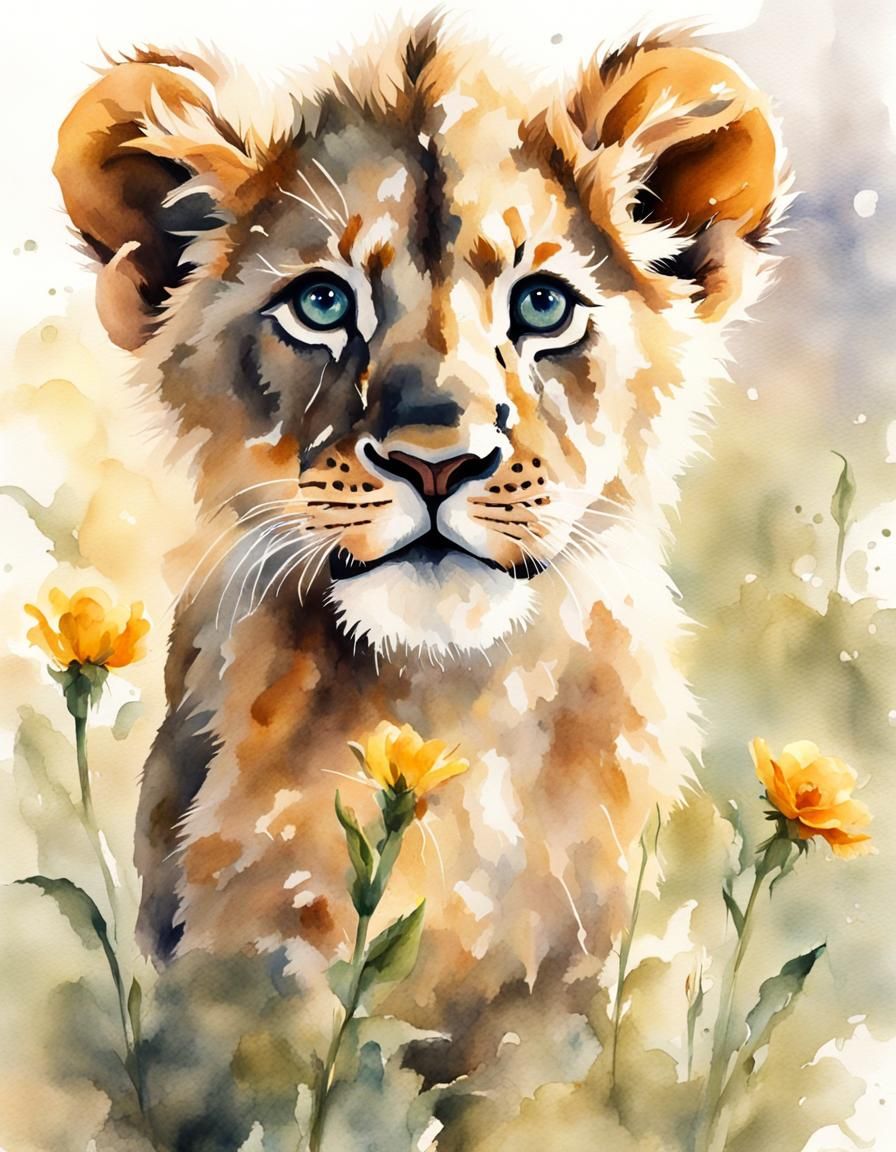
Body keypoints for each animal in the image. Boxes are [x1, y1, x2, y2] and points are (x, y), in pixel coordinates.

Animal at [53, 13, 788, 1116]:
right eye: (320, 303)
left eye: (541, 306)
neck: (447, 707)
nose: (436, 459)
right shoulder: (244, 976)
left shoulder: (564, 995)